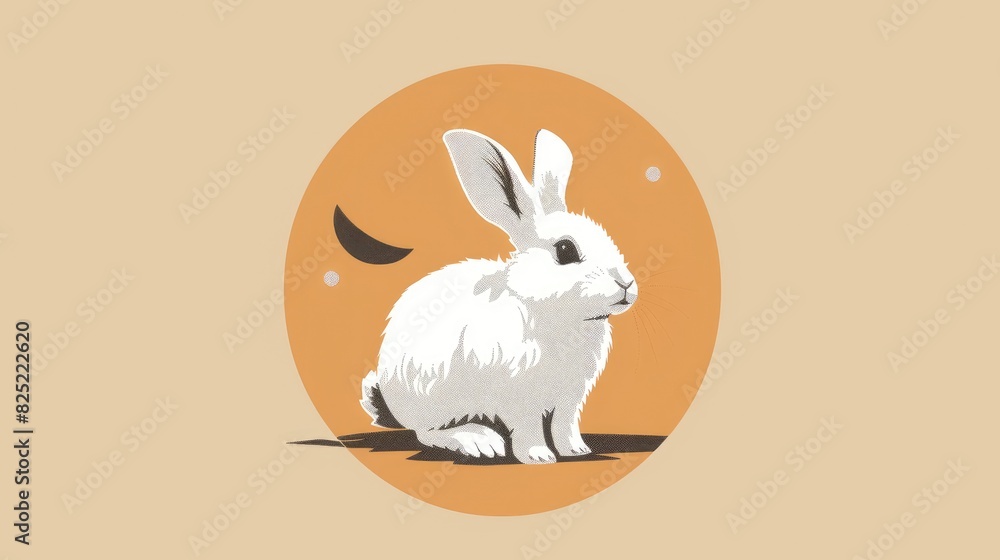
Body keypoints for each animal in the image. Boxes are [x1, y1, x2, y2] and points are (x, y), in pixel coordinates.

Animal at [360, 128, 637, 464]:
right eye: (565, 250)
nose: (626, 284)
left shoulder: (569, 397)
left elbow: (564, 424)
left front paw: (576, 450)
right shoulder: (518, 395)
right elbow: (529, 427)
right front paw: (538, 457)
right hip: (434, 394)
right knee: (426, 432)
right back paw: (479, 441)